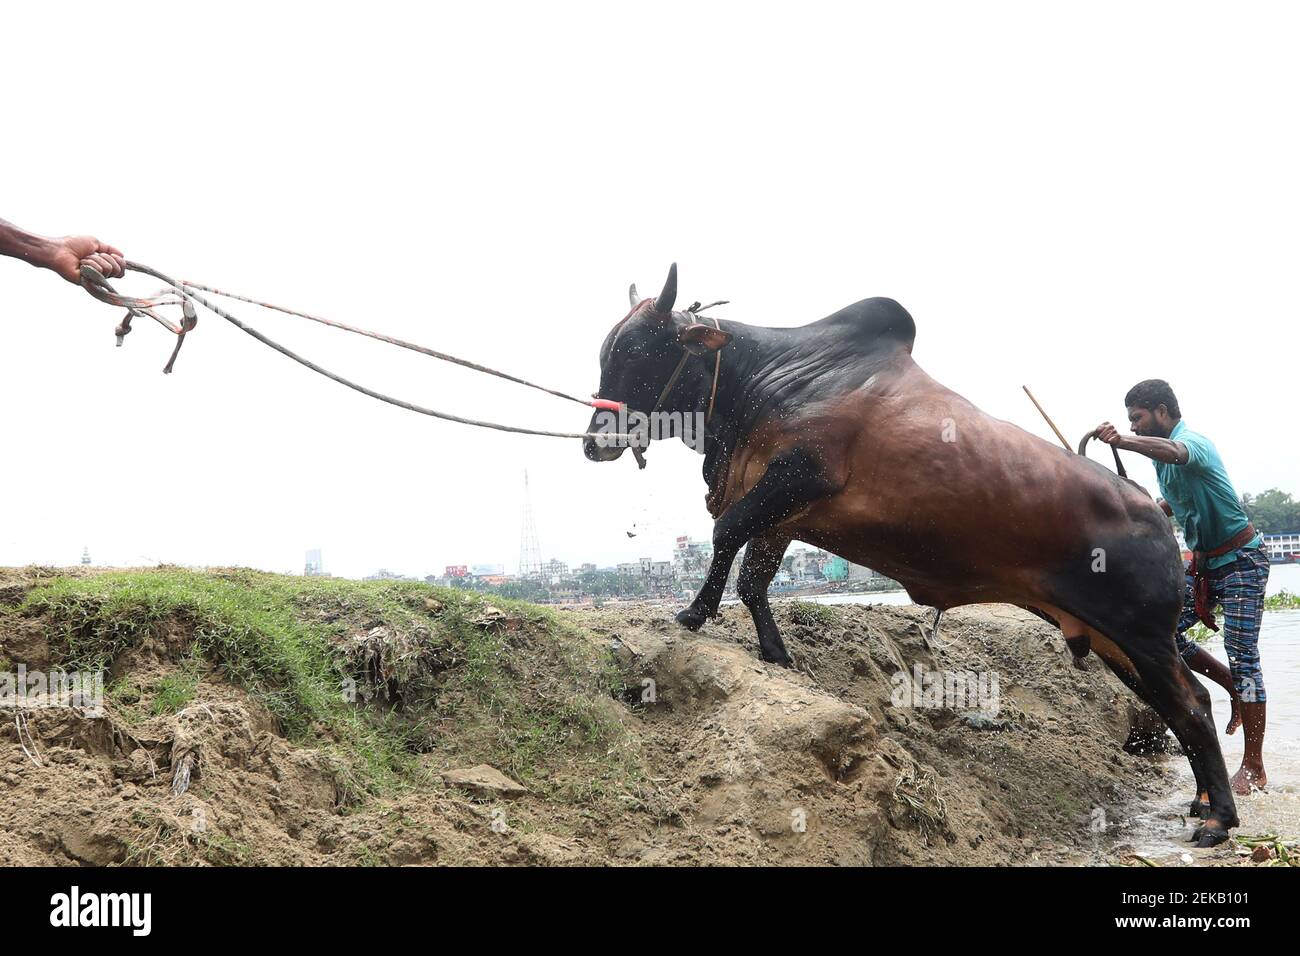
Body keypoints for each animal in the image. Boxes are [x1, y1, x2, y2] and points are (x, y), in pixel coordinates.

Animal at [583, 263, 1238, 847]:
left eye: (637, 349)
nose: (595, 441)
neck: (761, 378)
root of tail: (1158, 514)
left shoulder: (797, 477)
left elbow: (725, 535)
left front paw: (694, 612)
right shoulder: (781, 510)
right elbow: (754, 577)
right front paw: (774, 651)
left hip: (1144, 635)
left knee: (1193, 706)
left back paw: (1218, 818)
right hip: (1114, 641)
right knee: (1176, 707)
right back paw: (1202, 802)